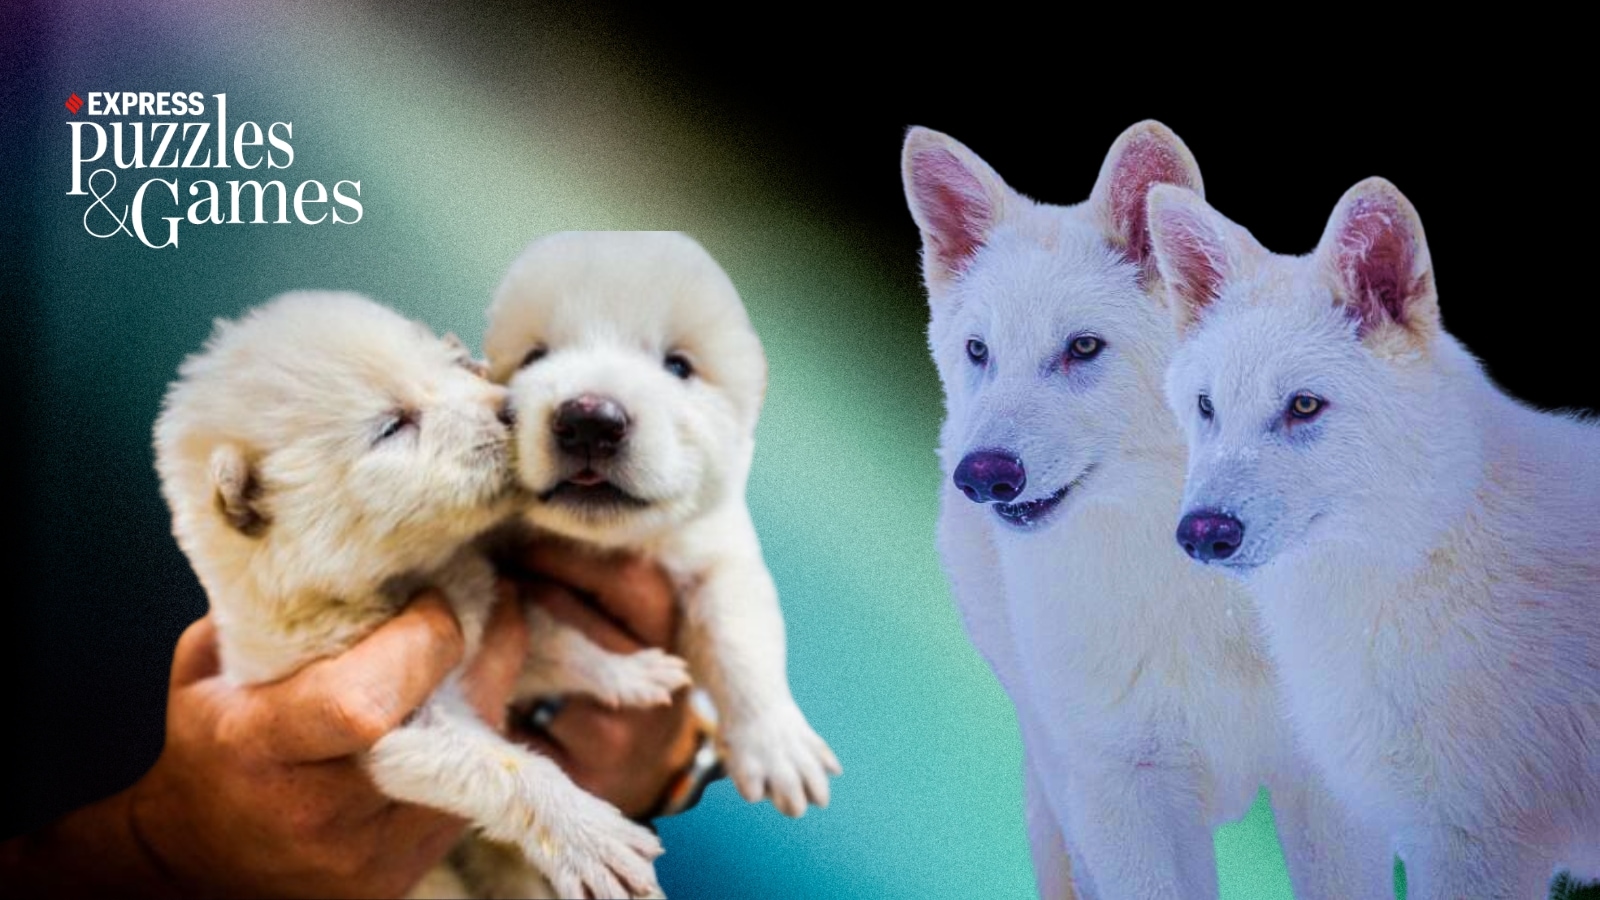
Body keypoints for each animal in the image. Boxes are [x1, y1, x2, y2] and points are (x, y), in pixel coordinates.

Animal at [902, 123, 1391, 899]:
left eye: (1083, 347)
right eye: (980, 350)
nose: (983, 476)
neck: (1195, 597)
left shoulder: (1328, 793)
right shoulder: (1120, 800)